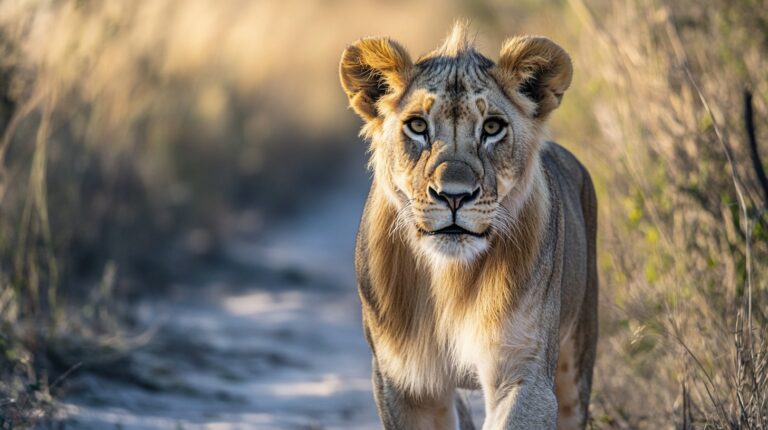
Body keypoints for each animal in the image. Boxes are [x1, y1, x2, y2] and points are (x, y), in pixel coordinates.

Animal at [339, 22, 597, 430]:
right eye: (417, 126)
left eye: (492, 127)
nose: (454, 195)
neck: (451, 278)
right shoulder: (406, 383)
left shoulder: (523, 371)